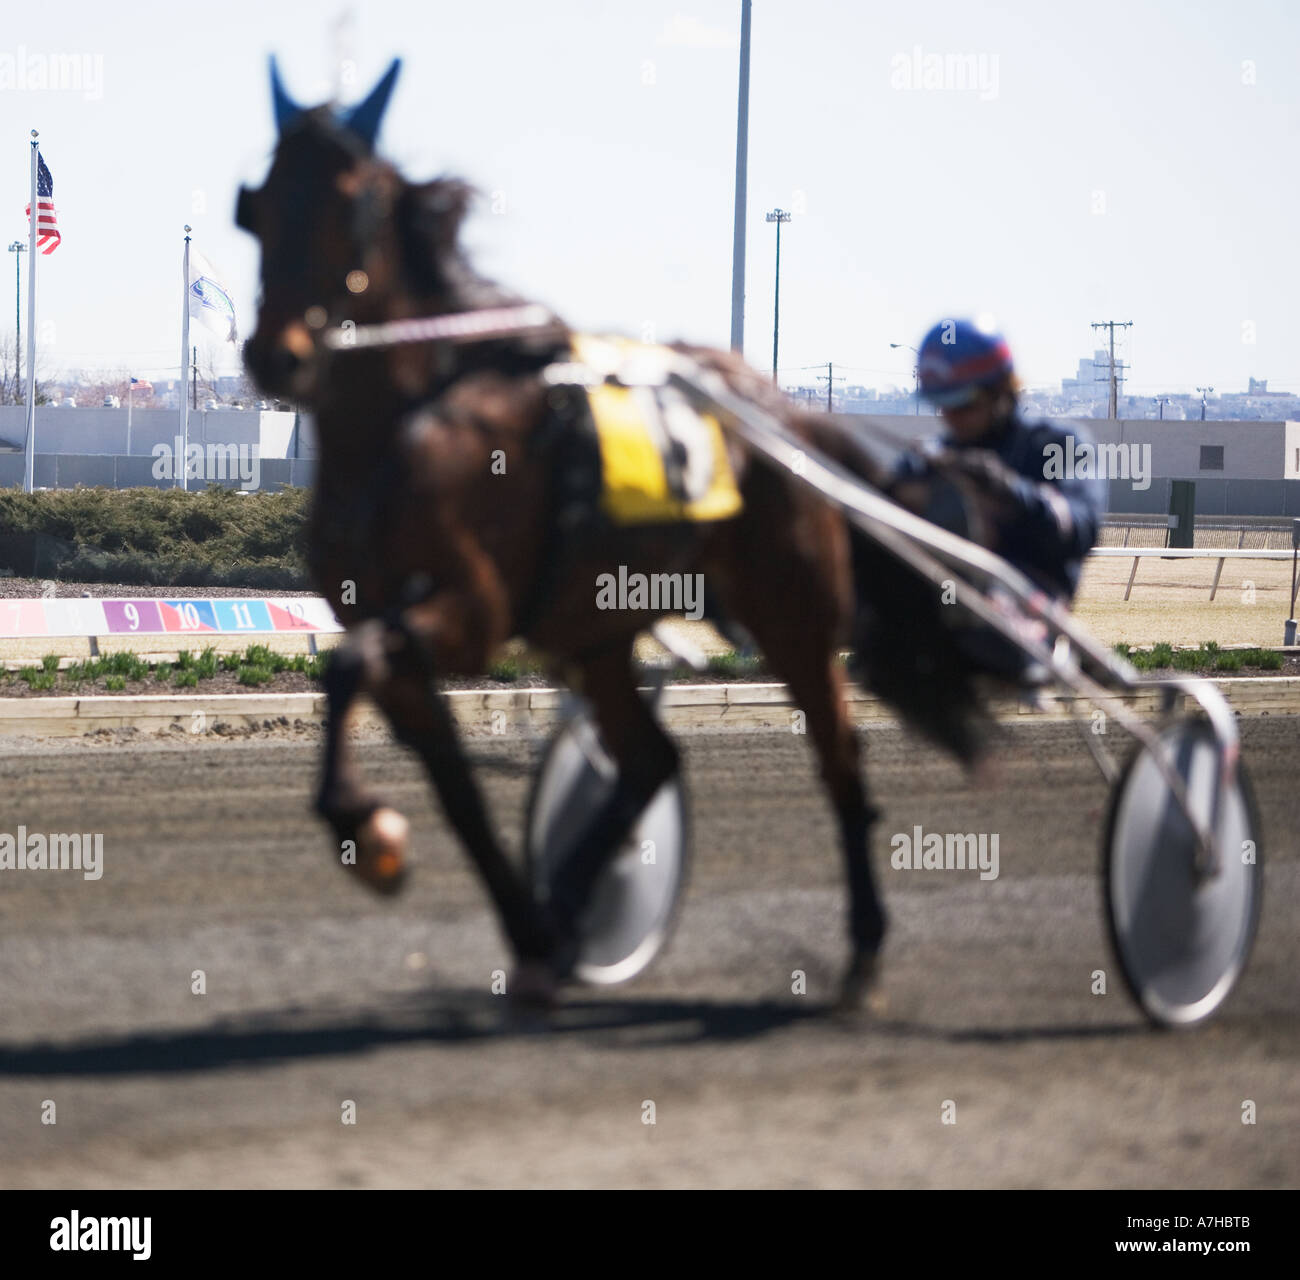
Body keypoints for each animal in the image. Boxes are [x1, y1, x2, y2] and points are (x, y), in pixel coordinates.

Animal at [236, 58, 981, 1007]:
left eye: (350, 207)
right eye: (258, 205)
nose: (276, 355)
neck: (409, 417)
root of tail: (782, 412)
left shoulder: (468, 611)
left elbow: (346, 671)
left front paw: (370, 835)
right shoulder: (383, 615)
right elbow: (448, 781)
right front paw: (525, 930)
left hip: (791, 609)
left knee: (837, 751)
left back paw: (863, 949)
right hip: (599, 630)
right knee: (650, 760)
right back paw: (569, 919)